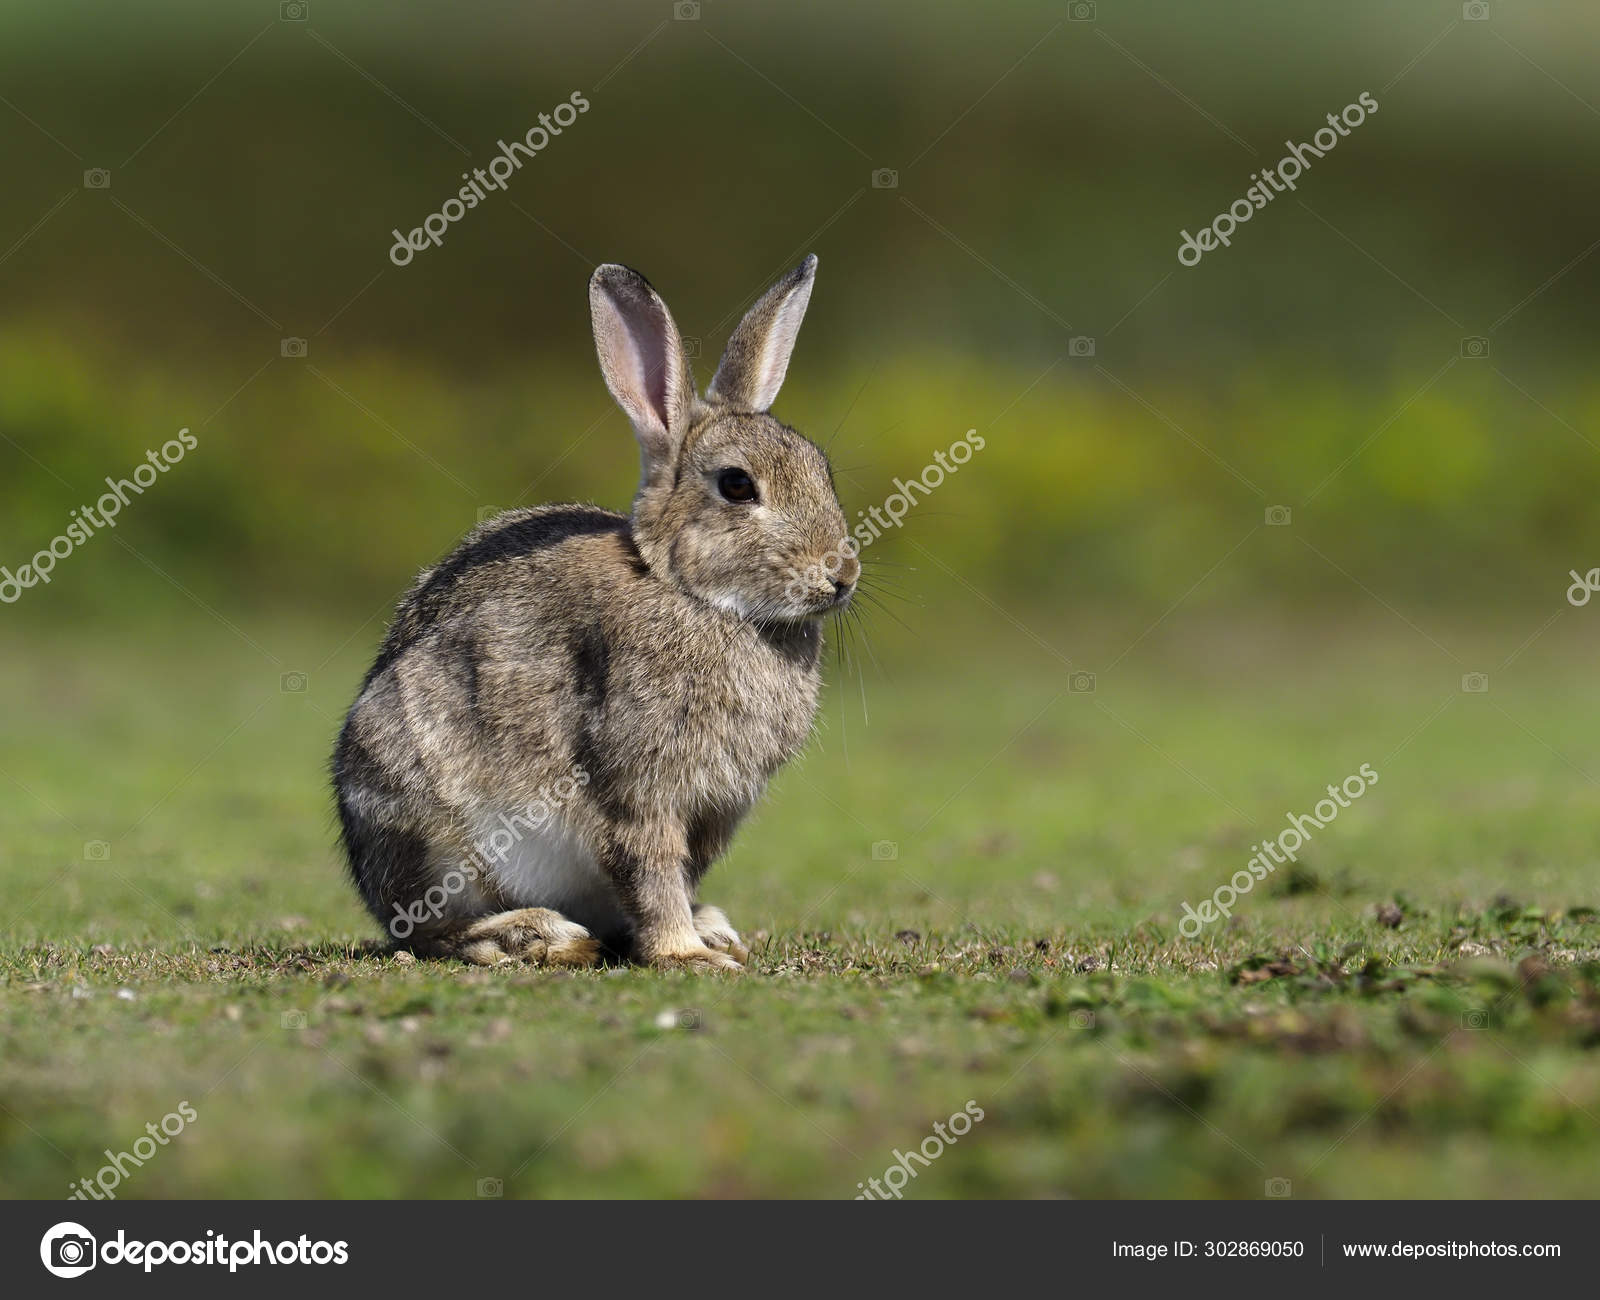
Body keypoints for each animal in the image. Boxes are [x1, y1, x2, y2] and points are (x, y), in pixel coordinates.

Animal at [331, 255, 858, 971]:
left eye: (822, 470)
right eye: (737, 485)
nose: (842, 574)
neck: (691, 592)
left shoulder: (714, 811)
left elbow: (672, 874)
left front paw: (694, 940)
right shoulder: (637, 780)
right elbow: (650, 866)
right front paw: (686, 956)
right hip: (433, 829)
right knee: (428, 930)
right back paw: (538, 934)